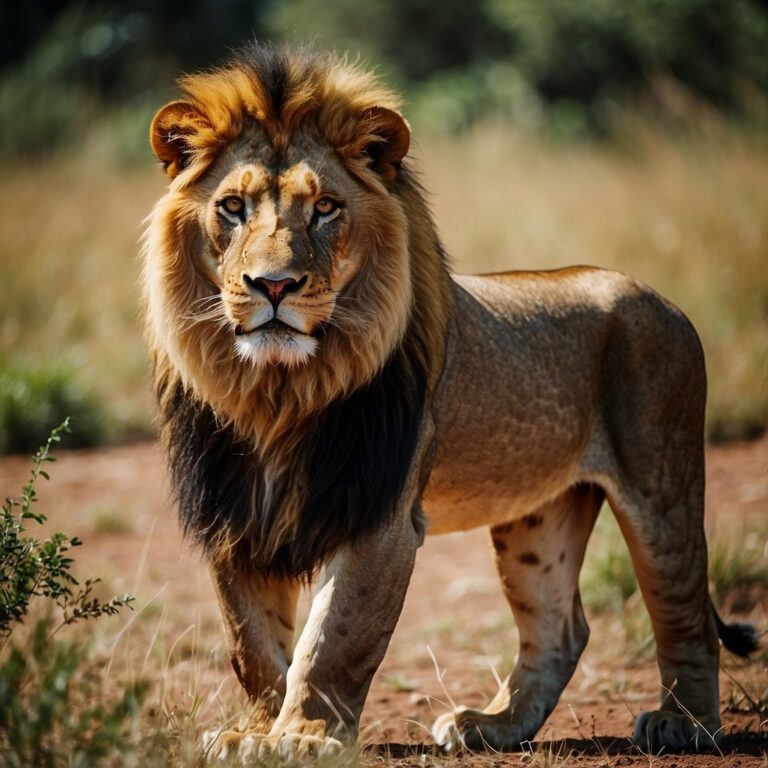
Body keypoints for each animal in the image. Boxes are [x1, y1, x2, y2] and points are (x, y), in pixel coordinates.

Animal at [143, 43, 756, 762]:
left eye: (325, 207)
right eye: (234, 207)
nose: (273, 285)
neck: (276, 393)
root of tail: (659, 296)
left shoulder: (378, 514)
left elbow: (332, 638)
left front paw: (303, 736)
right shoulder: (234, 511)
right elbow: (255, 644)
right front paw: (256, 730)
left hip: (662, 480)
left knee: (686, 608)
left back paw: (684, 724)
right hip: (536, 520)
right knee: (561, 627)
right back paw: (492, 726)